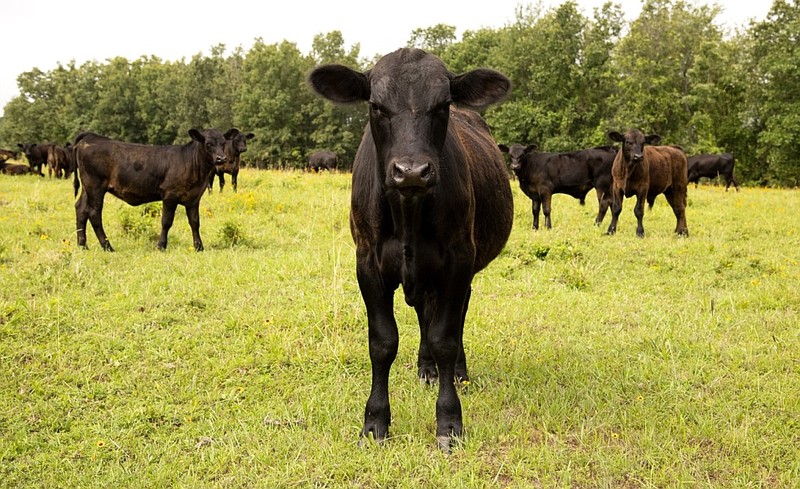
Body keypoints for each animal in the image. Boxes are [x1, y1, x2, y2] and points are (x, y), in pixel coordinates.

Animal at [73, 128, 229, 252]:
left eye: (223, 143)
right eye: (208, 144)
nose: (221, 158)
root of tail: (91, 136)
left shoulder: (194, 198)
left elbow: (195, 222)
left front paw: (199, 247)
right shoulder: (170, 195)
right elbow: (166, 221)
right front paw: (161, 246)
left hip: (87, 188)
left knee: (81, 208)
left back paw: (83, 245)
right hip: (95, 186)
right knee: (94, 213)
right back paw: (107, 246)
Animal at [308, 47, 513, 452]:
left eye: (443, 105)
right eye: (376, 105)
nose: (412, 171)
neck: (408, 212)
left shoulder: (457, 261)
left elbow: (445, 337)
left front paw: (449, 422)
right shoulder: (367, 263)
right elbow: (383, 342)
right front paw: (375, 422)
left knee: (454, 317)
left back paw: (457, 371)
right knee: (423, 315)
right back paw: (425, 368)